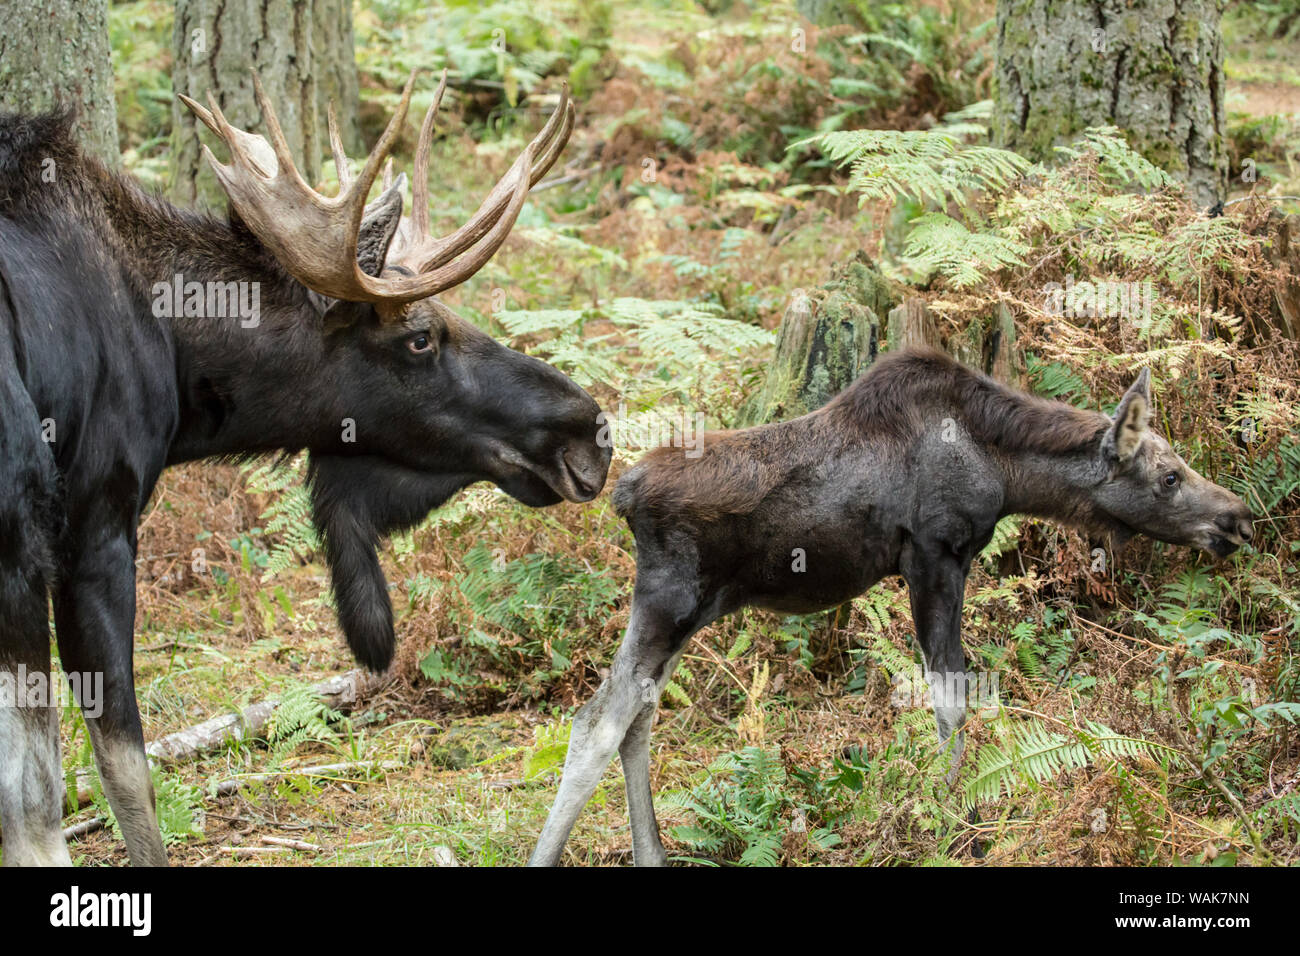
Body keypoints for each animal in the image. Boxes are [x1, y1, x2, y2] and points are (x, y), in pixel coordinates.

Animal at [528, 346, 1255, 866]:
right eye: (1169, 476)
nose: (1238, 519)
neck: (1004, 464)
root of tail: (622, 495)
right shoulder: (936, 553)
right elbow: (951, 695)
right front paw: (957, 827)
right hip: (668, 601)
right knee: (595, 724)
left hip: (691, 612)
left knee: (637, 721)